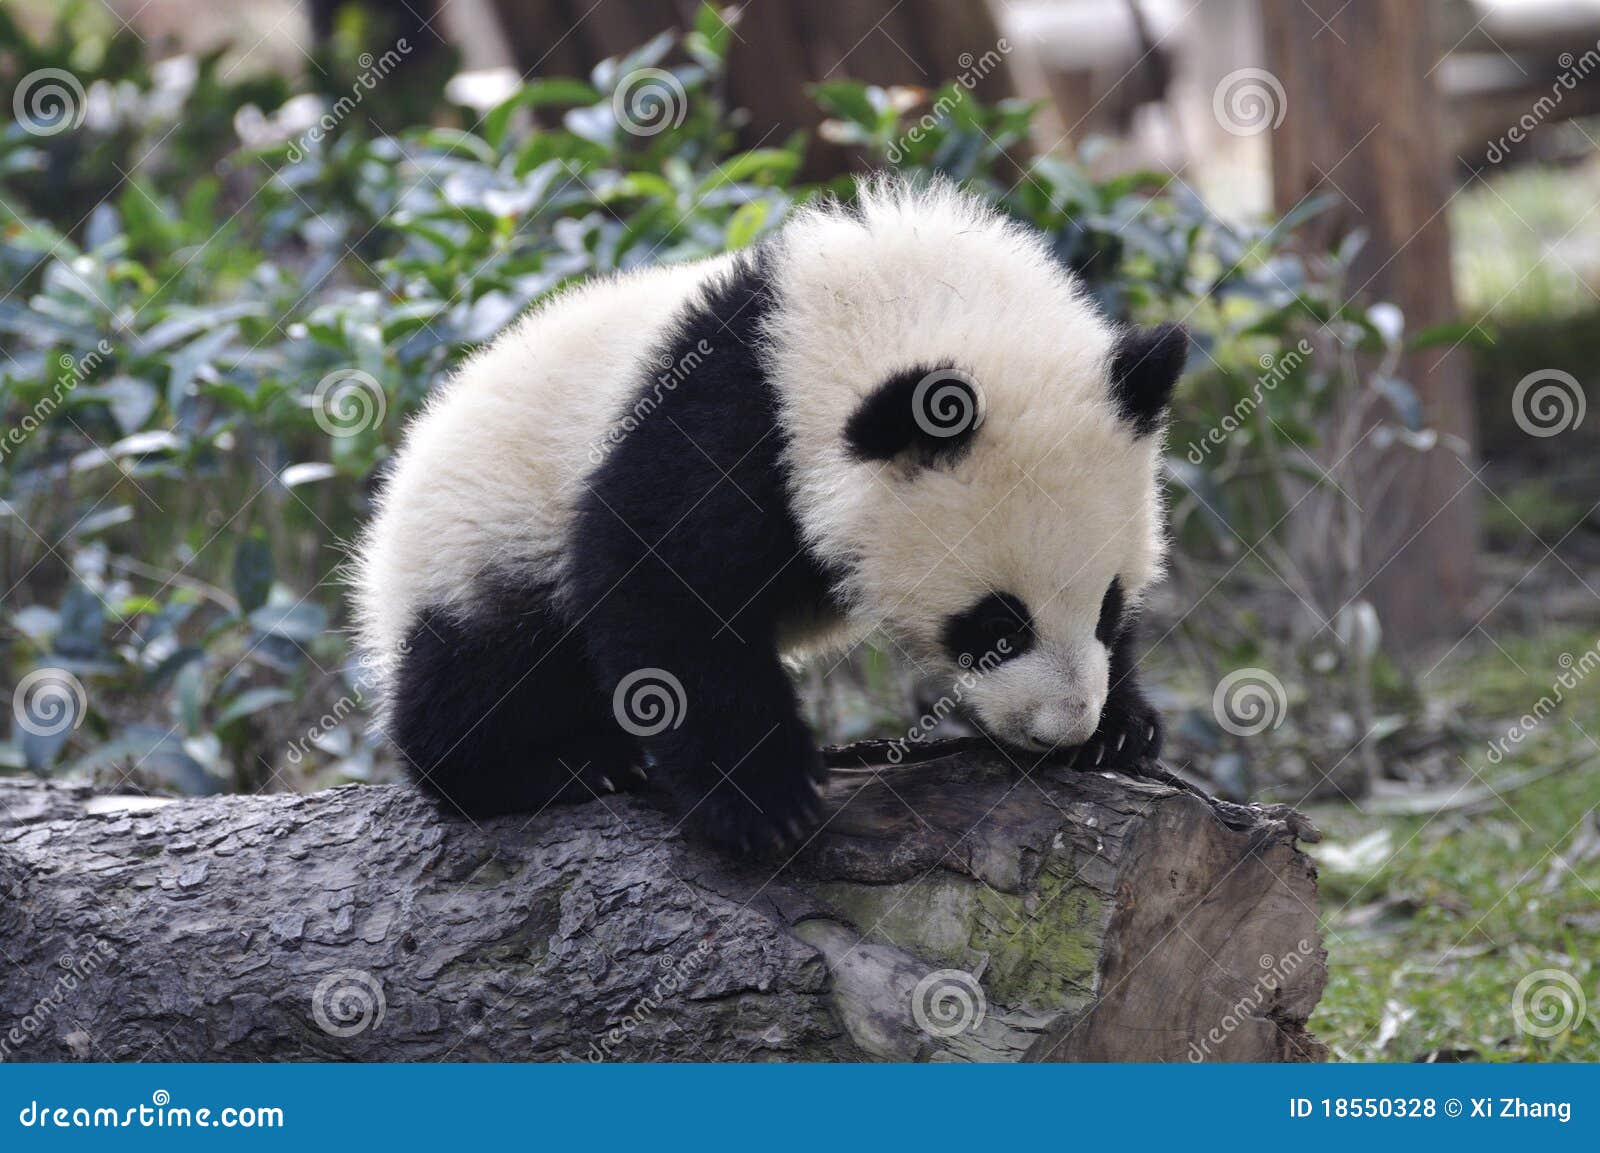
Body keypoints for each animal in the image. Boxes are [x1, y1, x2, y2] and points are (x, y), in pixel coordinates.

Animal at [351, 177, 1185, 853]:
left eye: (1108, 606)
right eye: (996, 624)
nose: (1062, 726)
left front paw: (1121, 728)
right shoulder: (727, 421)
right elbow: (668, 591)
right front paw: (765, 802)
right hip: (482, 533)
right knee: (481, 663)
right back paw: (551, 766)